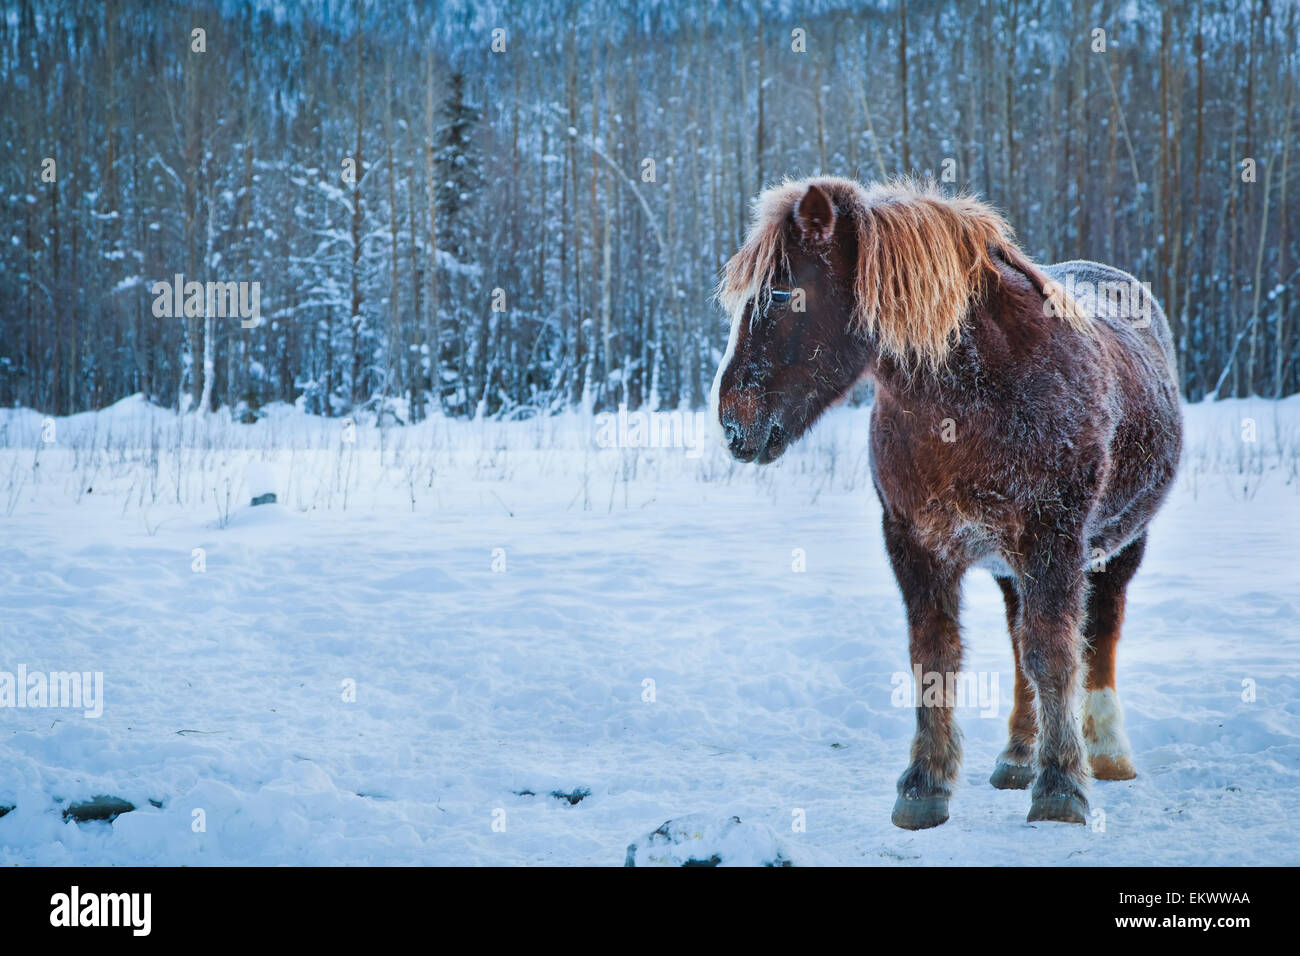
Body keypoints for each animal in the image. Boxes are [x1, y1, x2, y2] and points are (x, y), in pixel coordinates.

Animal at [710, 176, 1182, 829]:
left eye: (781, 292)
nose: (732, 424)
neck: (972, 399)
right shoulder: (914, 543)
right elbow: (935, 658)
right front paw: (924, 786)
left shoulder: (1055, 540)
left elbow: (1056, 656)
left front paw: (1062, 787)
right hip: (1011, 565)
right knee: (1019, 641)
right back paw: (1016, 757)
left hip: (1118, 545)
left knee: (1100, 632)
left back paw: (1107, 753)